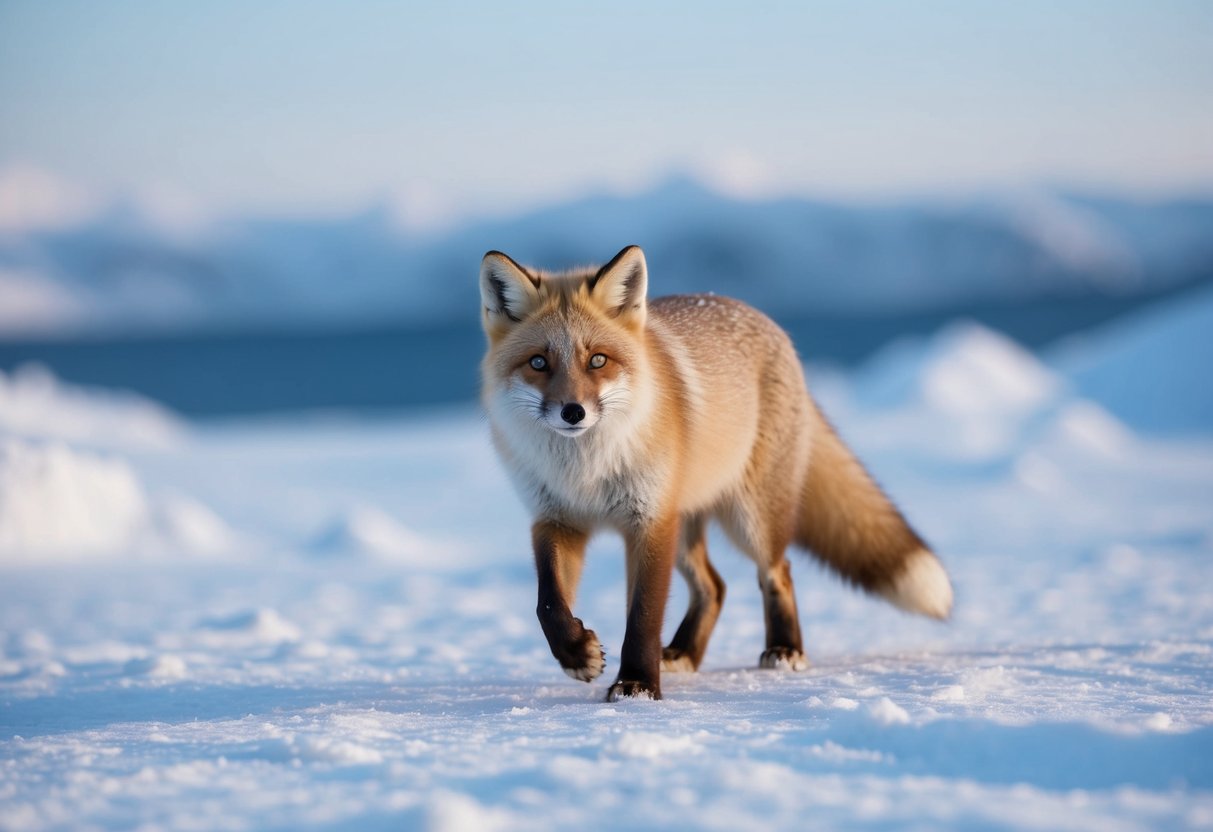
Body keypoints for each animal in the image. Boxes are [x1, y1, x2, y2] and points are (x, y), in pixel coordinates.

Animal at [479, 244, 952, 701]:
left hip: (749, 520)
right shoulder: (556, 519)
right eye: (538, 363)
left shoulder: (650, 522)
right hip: (686, 526)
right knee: (715, 586)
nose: (573, 412)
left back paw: (785, 649)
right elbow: (547, 603)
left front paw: (637, 687)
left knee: (777, 572)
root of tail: (763, 319)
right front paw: (577, 654)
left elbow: (643, 614)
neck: (586, 473)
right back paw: (684, 653)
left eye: (597, 360)